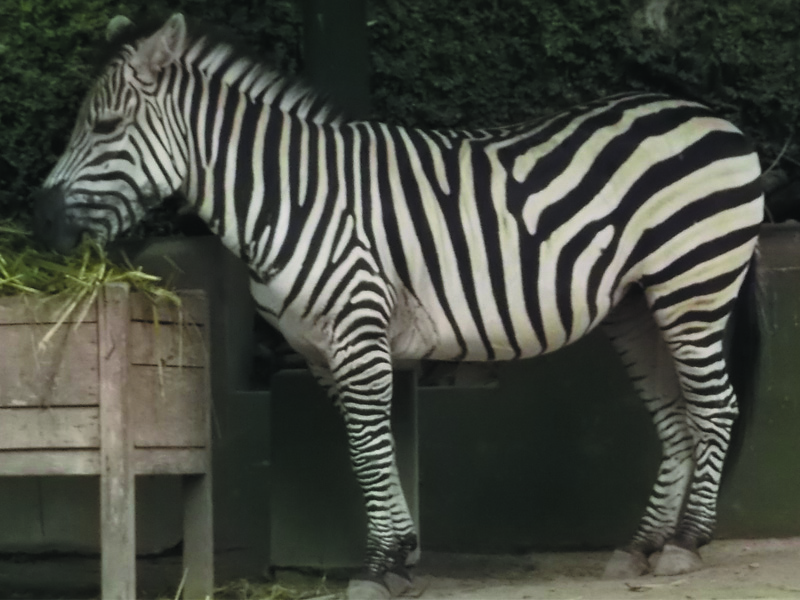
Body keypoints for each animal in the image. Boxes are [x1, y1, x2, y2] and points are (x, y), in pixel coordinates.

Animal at [31, 13, 763, 599]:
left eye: (105, 126)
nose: (42, 227)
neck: (288, 197)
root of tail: (710, 115)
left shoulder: (357, 329)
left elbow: (367, 448)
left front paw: (381, 565)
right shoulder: (318, 349)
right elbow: (369, 450)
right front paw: (401, 557)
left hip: (695, 281)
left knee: (714, 406)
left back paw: (686, 542)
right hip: (639, 303)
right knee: (675, 415)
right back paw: (644, 544)